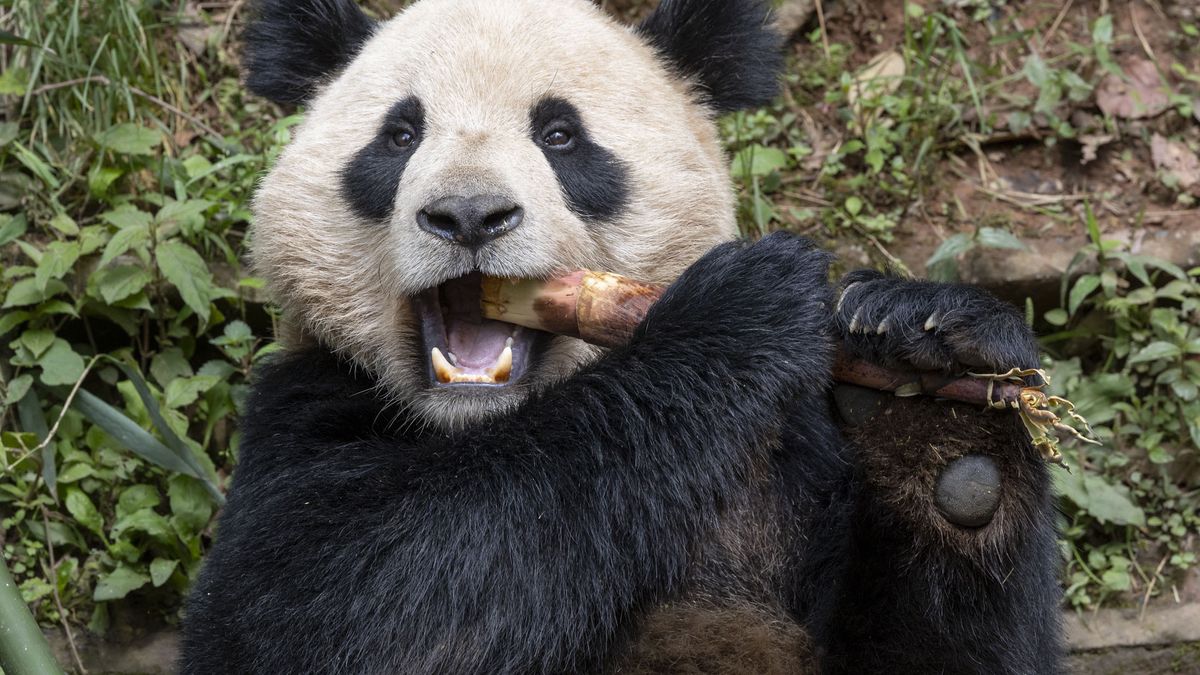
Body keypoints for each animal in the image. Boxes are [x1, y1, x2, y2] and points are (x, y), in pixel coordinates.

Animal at [180, 0, 1063, 672]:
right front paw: (738, 310)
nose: (468, 215)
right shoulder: (307, 404)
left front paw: (936, 385)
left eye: (561, 135)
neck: (482, 426)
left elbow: (941, 655)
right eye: (399, 136)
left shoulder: (791, 463)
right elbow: (341, 609)